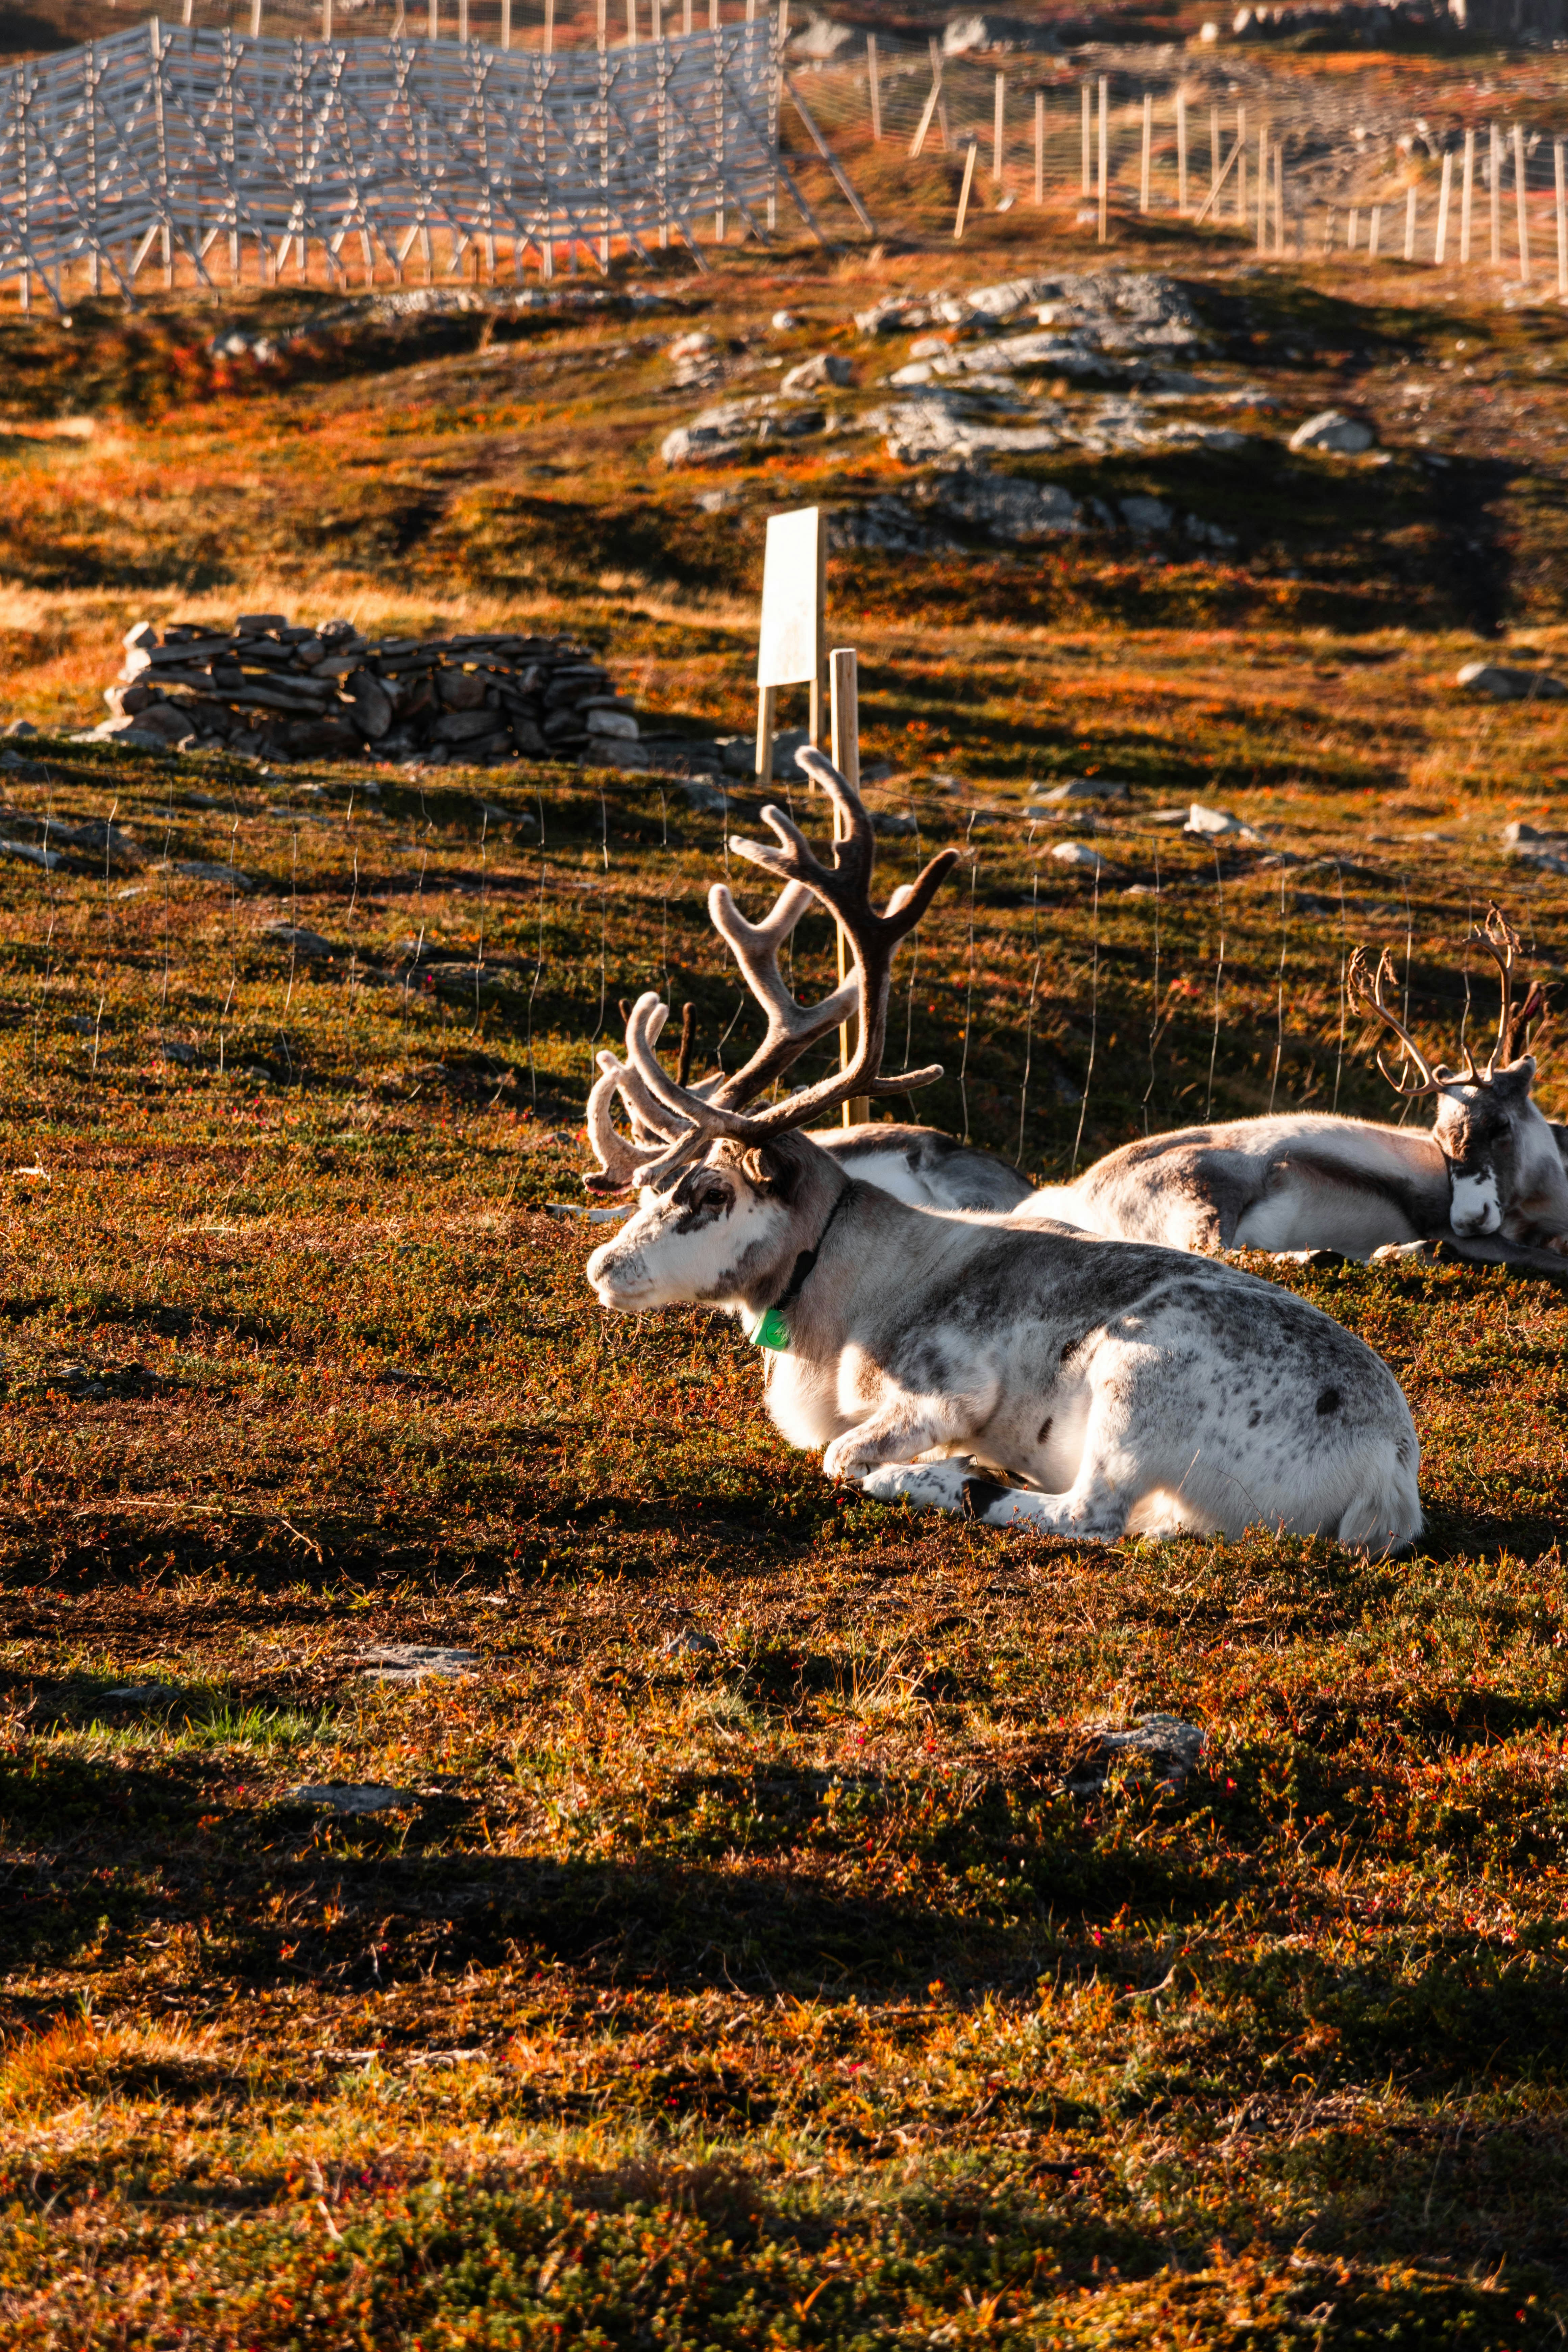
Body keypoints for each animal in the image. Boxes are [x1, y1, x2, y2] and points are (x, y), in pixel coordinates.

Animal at [584, 751, 1422, 1554]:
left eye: (711, 1194)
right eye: (652, 1189)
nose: (601, 1268)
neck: (847, 1281)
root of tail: (1388, 1476)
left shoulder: (946, 1389)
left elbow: (841, 1452)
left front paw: (930, 1464)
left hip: (1136, 1386)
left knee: (1090, 1515)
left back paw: (947, 1482)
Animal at [1012, 911, 1568, 1261]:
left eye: (1500, 1125)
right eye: (1439, 1137)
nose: (1468, 1220)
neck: (1548, 1200)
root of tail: (1070, 1195)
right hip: (1206, 1192)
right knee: (1223, 1252)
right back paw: (1358, 1254)